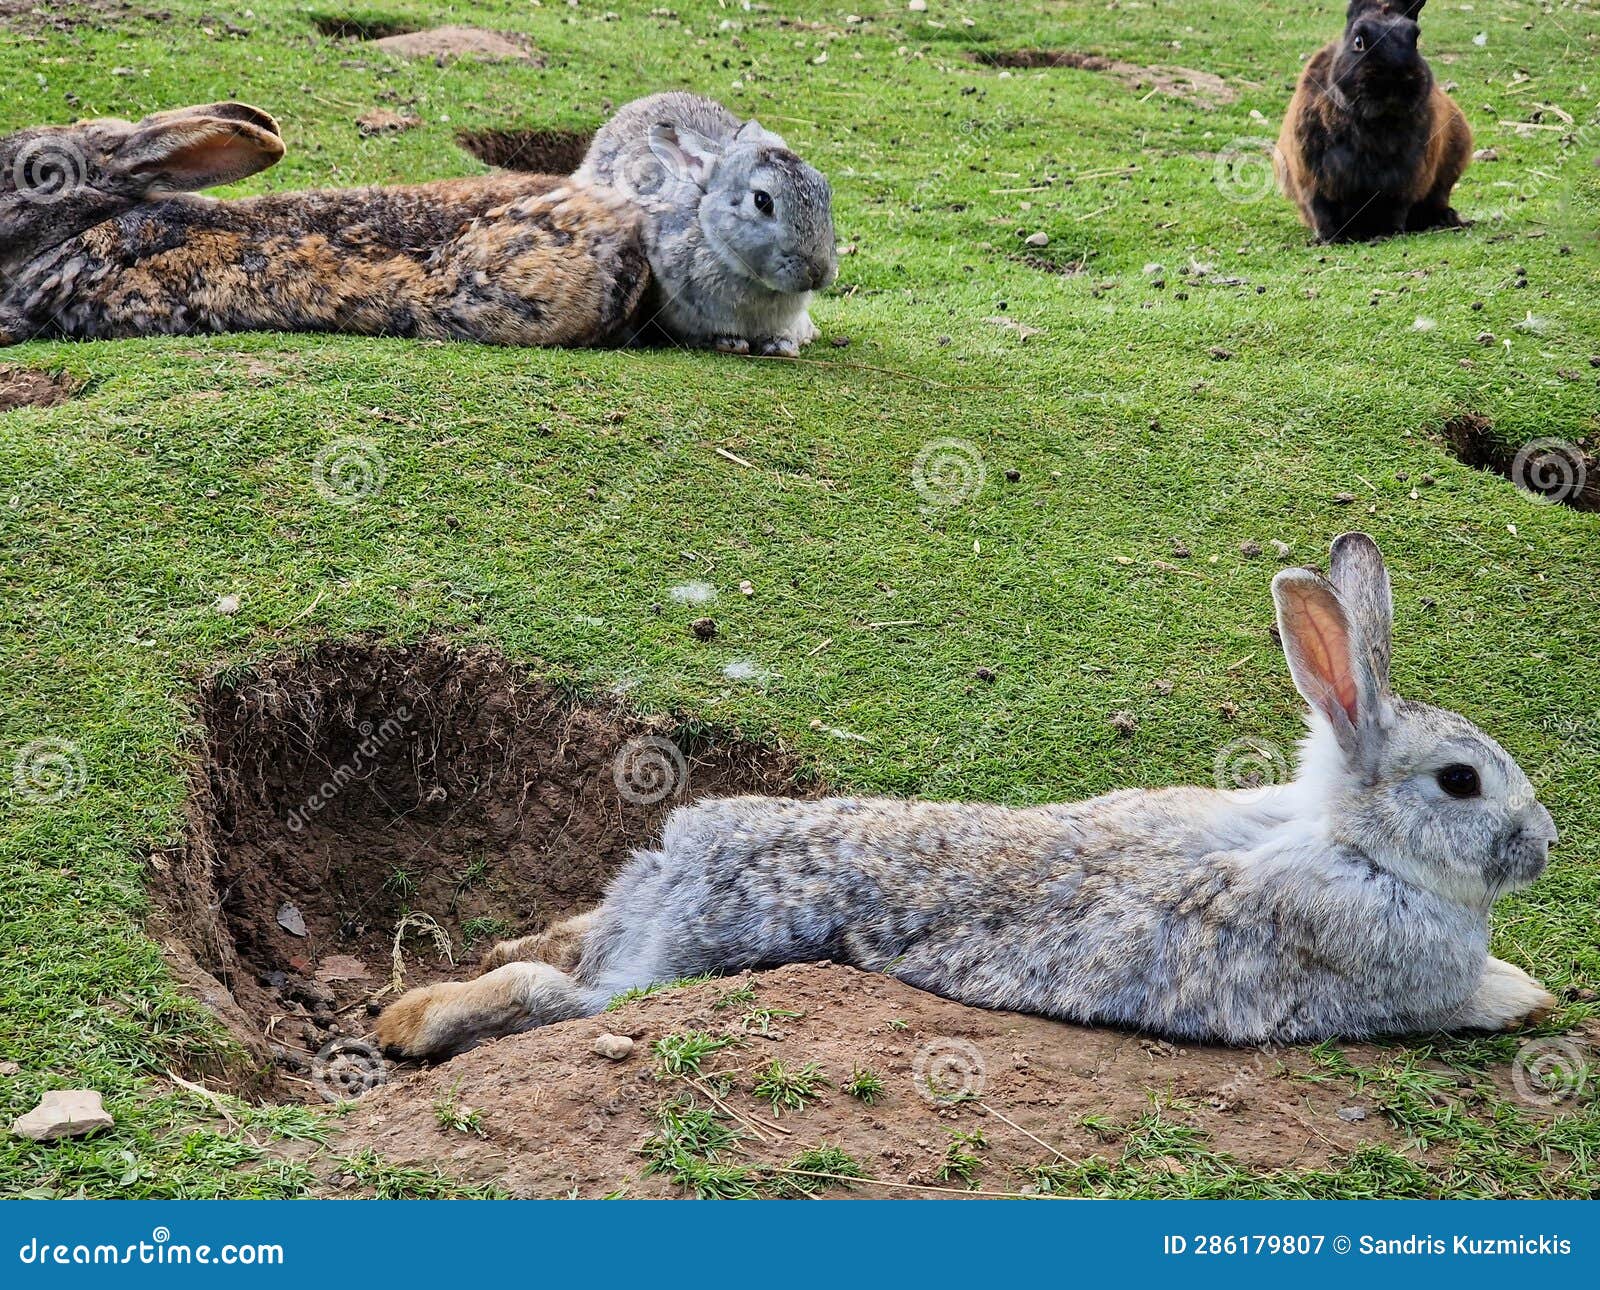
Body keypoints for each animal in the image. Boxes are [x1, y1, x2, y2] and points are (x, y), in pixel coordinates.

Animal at [377, 533, 1559, 1060]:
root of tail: (682, 870)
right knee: (555, 998)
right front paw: (1527, 995)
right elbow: (1465, 998)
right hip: (660, 975)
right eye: (1461, 783)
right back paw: (409, 1020)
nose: (1542, 843)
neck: (1356, 842)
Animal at [1275, 0, 1472, 242]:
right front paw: (1329, 239)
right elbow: (1322, 213)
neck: (1376, 122)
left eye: (1415, 39)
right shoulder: (1313, 181)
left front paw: (1389, 233)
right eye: (1359, 41)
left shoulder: (1404, 183)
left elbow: (1395, 210)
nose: (1398, 79)